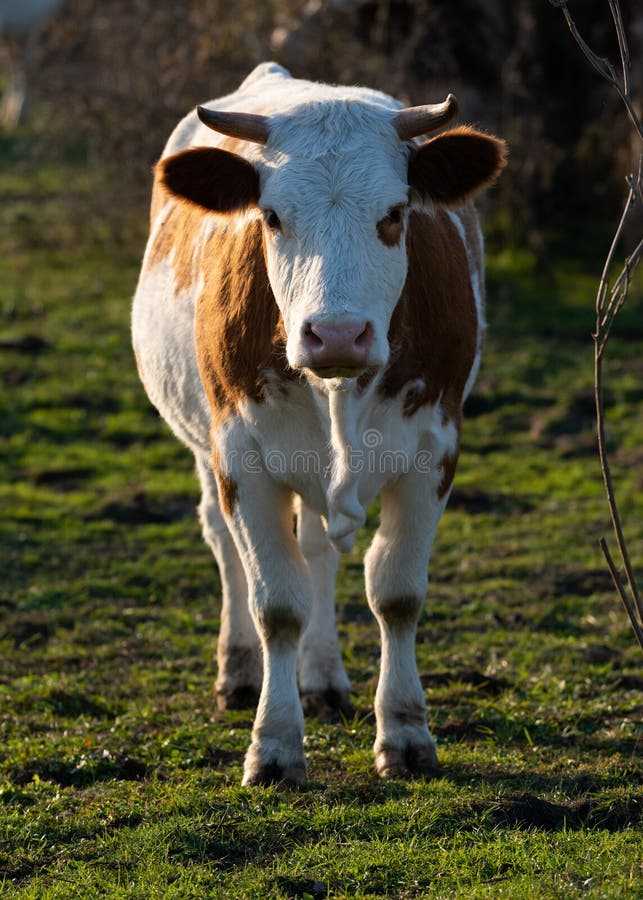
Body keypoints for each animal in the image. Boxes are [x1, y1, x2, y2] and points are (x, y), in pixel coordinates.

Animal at [132, 62, 506, 787]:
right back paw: (239, 674)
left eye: (394, 215)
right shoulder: (240, 454)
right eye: (272, 217)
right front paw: (274, 746)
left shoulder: (434, 449)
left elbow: (395, 593)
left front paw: (405, 734)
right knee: (226, 546)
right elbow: (276, 602)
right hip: (205, 443)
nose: (335, 334)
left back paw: (324, 679)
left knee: (318, 554)